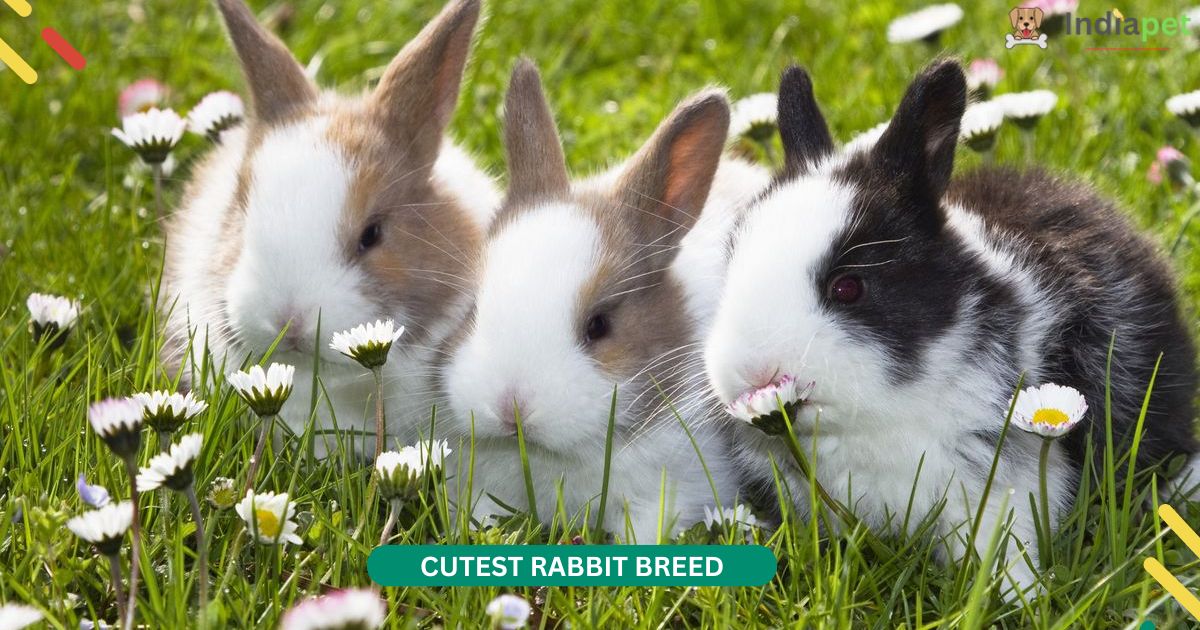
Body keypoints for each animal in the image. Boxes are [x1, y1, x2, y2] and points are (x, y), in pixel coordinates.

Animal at [703, 60, 1197, 596]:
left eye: (847, 288)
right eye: (731, 261)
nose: (752, 372)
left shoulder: (1000, 483)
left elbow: (1000, 543)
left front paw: (1015, 595)